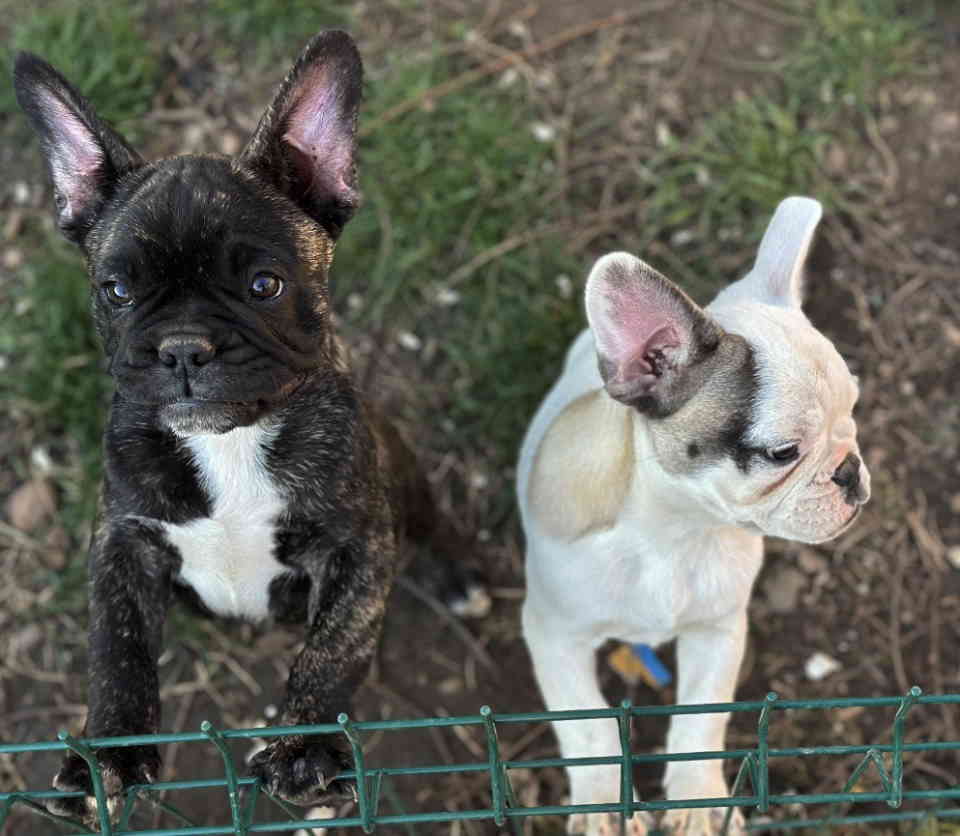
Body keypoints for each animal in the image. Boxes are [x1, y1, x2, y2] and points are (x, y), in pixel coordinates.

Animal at [12, 29, 484, 828]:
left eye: (266, 285)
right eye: (117, 290)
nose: (181, 347)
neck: (228, 441)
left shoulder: (356, 545)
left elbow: (332, 650)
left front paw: (304, 750)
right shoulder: (122, 543)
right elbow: (116, 650)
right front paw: (109, 758)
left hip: (406, 475)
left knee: (434, 526)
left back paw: (459, 579)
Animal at [516, 198, 872, 836]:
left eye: (853, 412)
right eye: (783, 452)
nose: (850, 470)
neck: (675, 531)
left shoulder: (718, 631)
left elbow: (701, 720)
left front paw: (698, 802)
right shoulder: (554, 634)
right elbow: (589, 727)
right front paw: (604, 808)